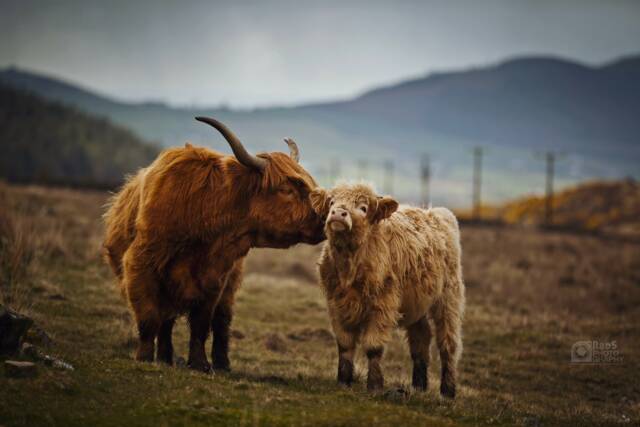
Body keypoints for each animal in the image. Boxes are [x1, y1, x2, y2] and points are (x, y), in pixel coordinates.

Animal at [103, 117, 325, 372]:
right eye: (286, 189)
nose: (325, 215)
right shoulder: (141, 265)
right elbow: (149, 317)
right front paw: (145, 357)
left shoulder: (215, 279)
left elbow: (201, 325)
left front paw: (200, 363)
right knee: (166, 322)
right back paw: (165, 357)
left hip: (230, 287)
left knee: (221, 323)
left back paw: (221, 364)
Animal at [310, 182, 465, 397]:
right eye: (331, 202)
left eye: (363, 207)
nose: (338, 213)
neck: (350, 265)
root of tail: (438, 213)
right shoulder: (337, 305)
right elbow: (345, 345)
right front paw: (343, 381)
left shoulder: (382, 305)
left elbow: (374, 347)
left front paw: (374, 386)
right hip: (417, 305)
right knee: (421, 340)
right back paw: (419, 386)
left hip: (449, 298)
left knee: (448, 343)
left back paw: (448, 391)